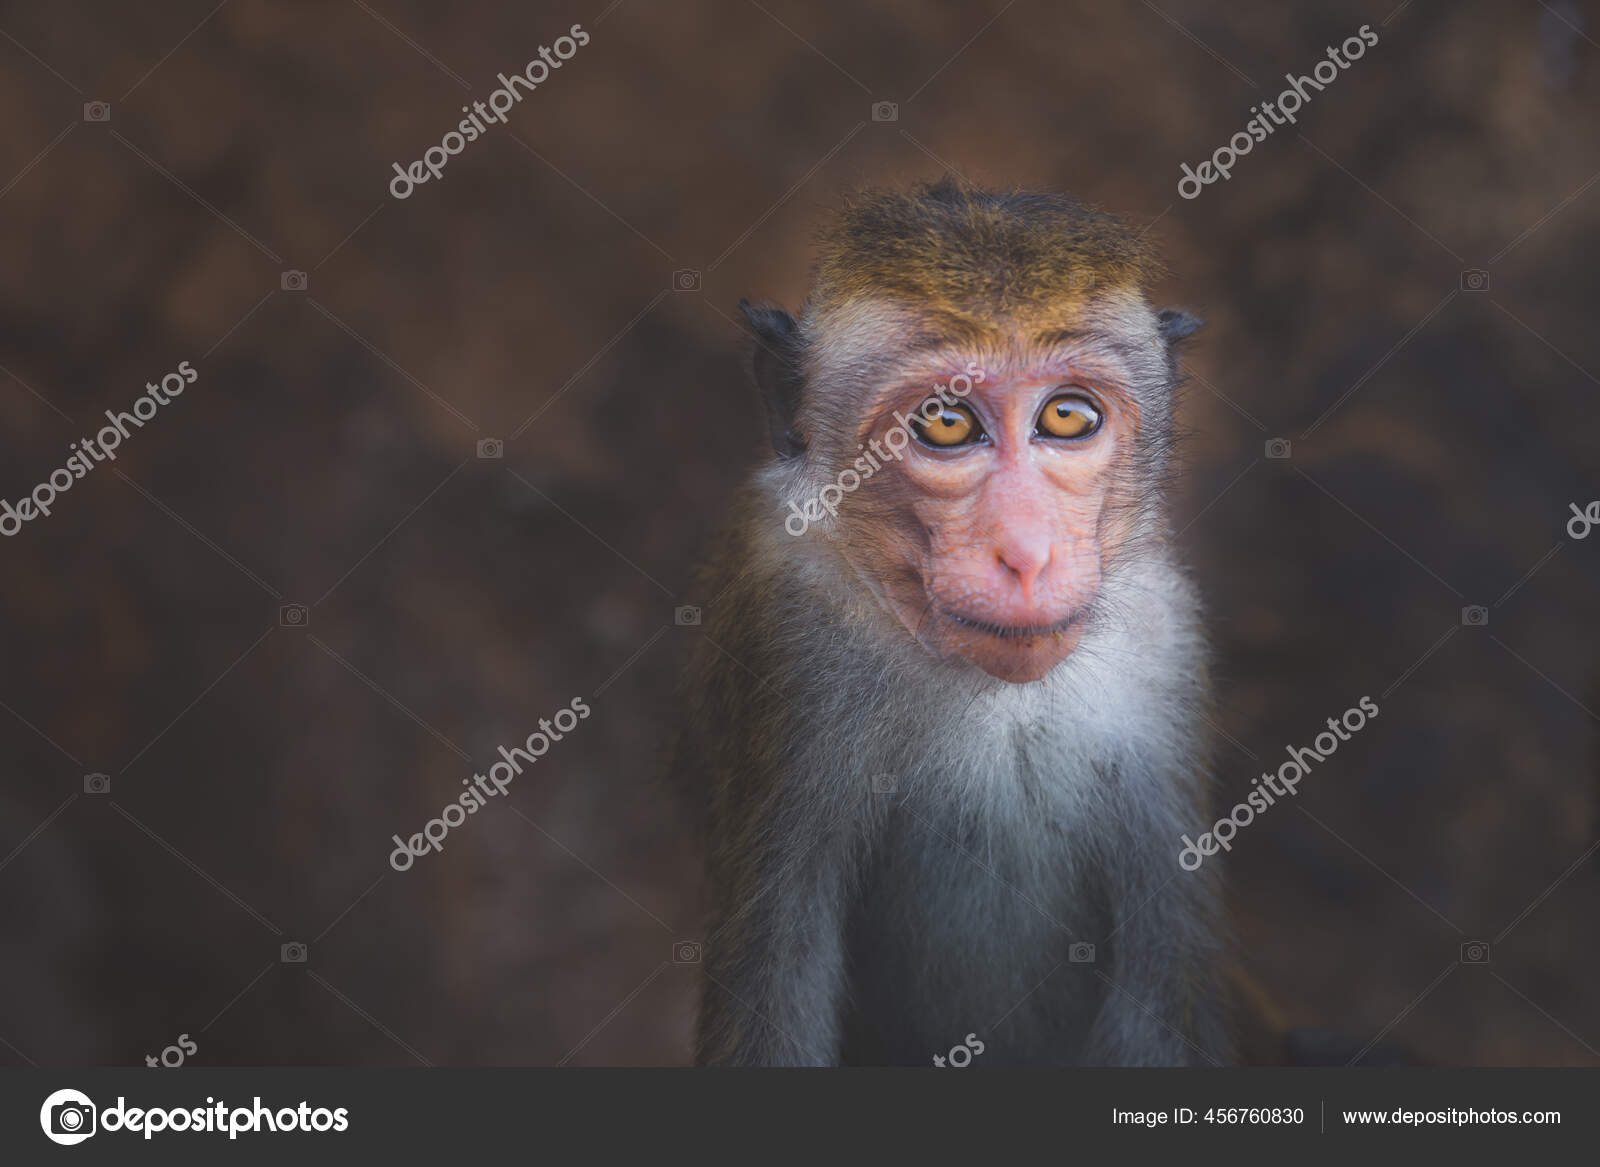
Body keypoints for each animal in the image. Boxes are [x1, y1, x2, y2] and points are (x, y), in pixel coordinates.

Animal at [675, 177, 1229, 1067]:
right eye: (945, 422)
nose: (1028, 554)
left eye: (1068, 417)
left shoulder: (1162, 633)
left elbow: (1162, 1000)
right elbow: (773, 991)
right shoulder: (783, 624)